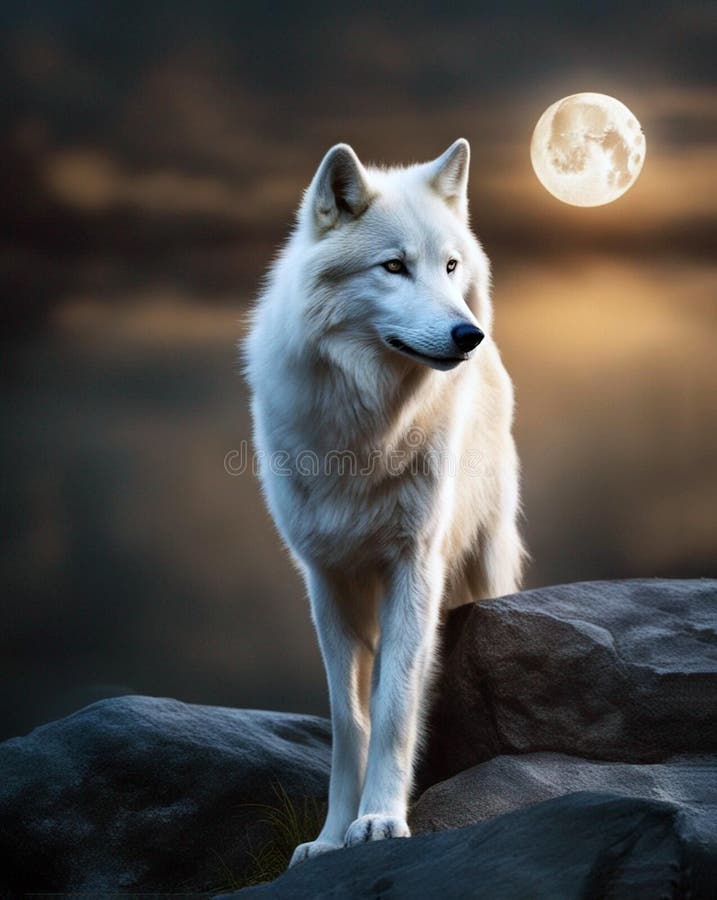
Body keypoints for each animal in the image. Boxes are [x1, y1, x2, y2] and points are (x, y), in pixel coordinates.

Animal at [244, 139, 524, 865]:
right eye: (393, 267)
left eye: (448, 266)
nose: (467, 335)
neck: (367, 428)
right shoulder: (326, 580)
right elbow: (350, 719)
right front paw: (328, 837)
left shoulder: (414, 567)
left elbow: (396, 703)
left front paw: (378, 821)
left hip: (484, 564)